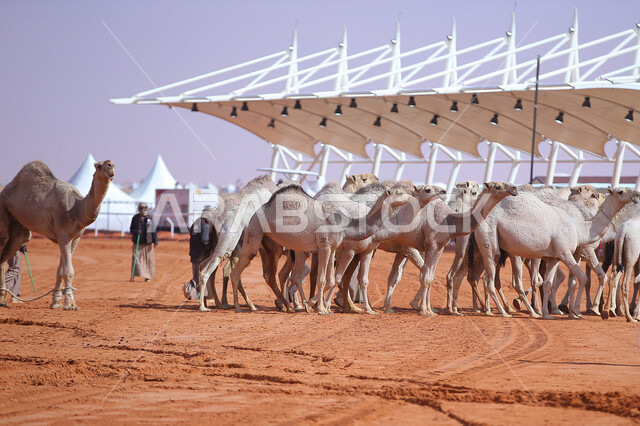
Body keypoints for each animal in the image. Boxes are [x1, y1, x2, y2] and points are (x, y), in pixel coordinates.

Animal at [0, 160, 115, 309]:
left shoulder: (75, 238)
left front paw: (56, 302)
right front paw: (70, 304)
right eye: (99, 165)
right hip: (2, 210)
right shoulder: (64, 235)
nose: (111, 165)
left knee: (9, 251)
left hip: (20, 228)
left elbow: (61, 270)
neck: (76, 209)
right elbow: (68, 271)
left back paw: (3, 300)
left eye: (111, 164)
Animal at [354, 182, 517, 316]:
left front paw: (396, 308)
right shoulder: (425, 246)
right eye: (498, 186)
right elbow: (424, 276)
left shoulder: (434, 247)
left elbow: (413, 277)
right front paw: (424, 310)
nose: (514, 189)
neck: (447, 219)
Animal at [471, 187, 638, 319]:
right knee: (490, 280)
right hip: (490, 241)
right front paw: (579, 311)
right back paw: (507, 312)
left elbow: (548, 283)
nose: (636, 193)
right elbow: (583, 278)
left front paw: (548, 314)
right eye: (620, 191)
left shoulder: (553, 257)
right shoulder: (566, 253)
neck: (579, 228)